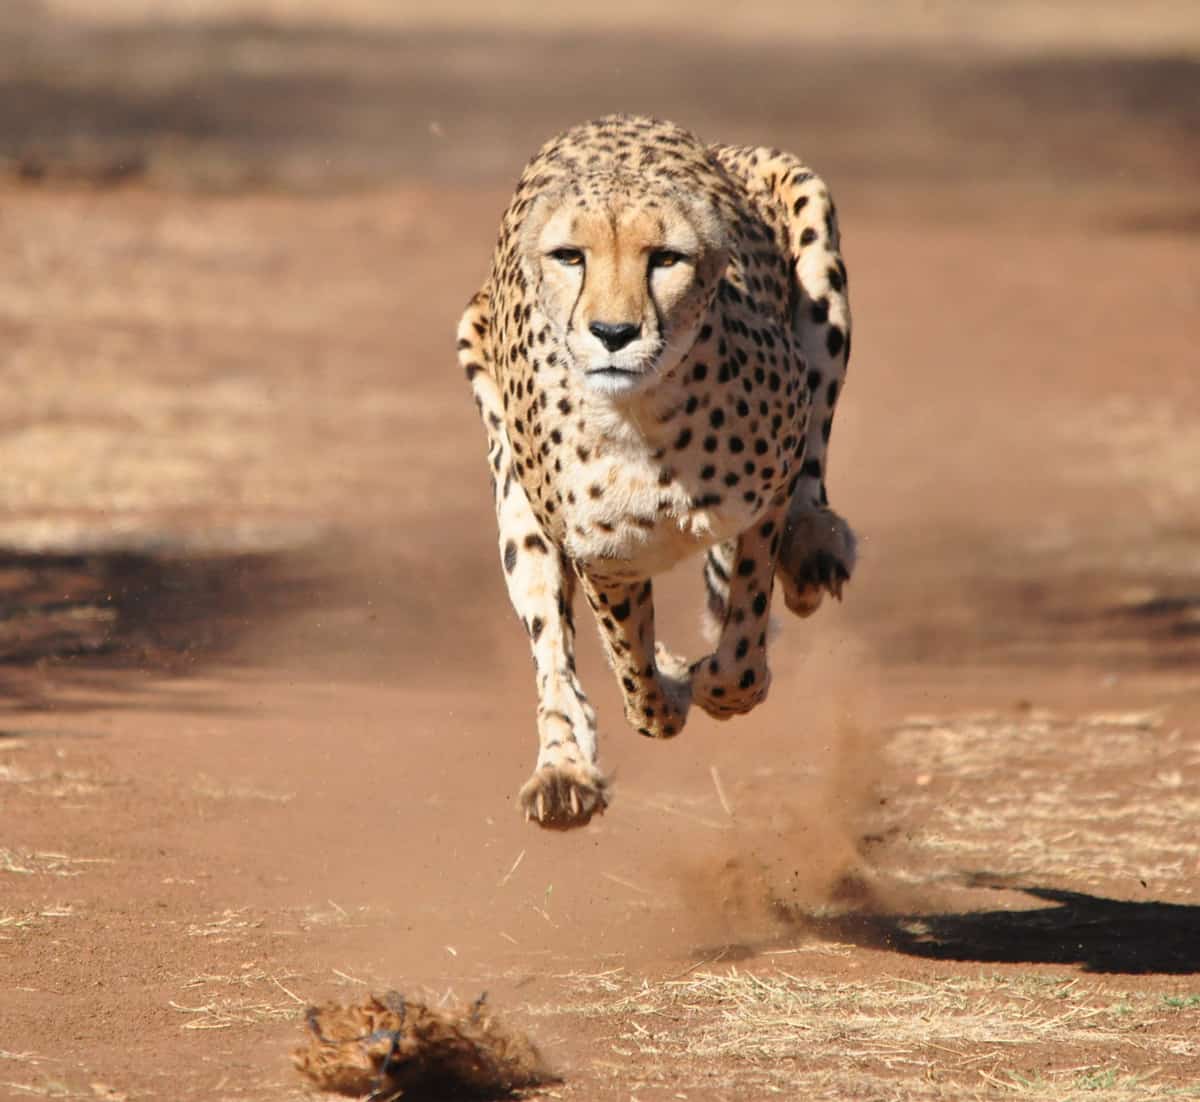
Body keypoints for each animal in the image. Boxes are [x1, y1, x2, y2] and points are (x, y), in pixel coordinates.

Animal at [456, 114, 856, 830]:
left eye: (665, 258)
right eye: (571, 256)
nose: (613, 332)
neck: (643, 418)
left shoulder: (767, 491)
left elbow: (741, 649)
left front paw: (714, 682)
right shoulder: (602, 557)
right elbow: (631, 667)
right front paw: (666, 692)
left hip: (817, 253)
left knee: (816, 450)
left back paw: (814, 549)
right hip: (514, 499)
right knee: (552, 650)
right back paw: (563, 771)